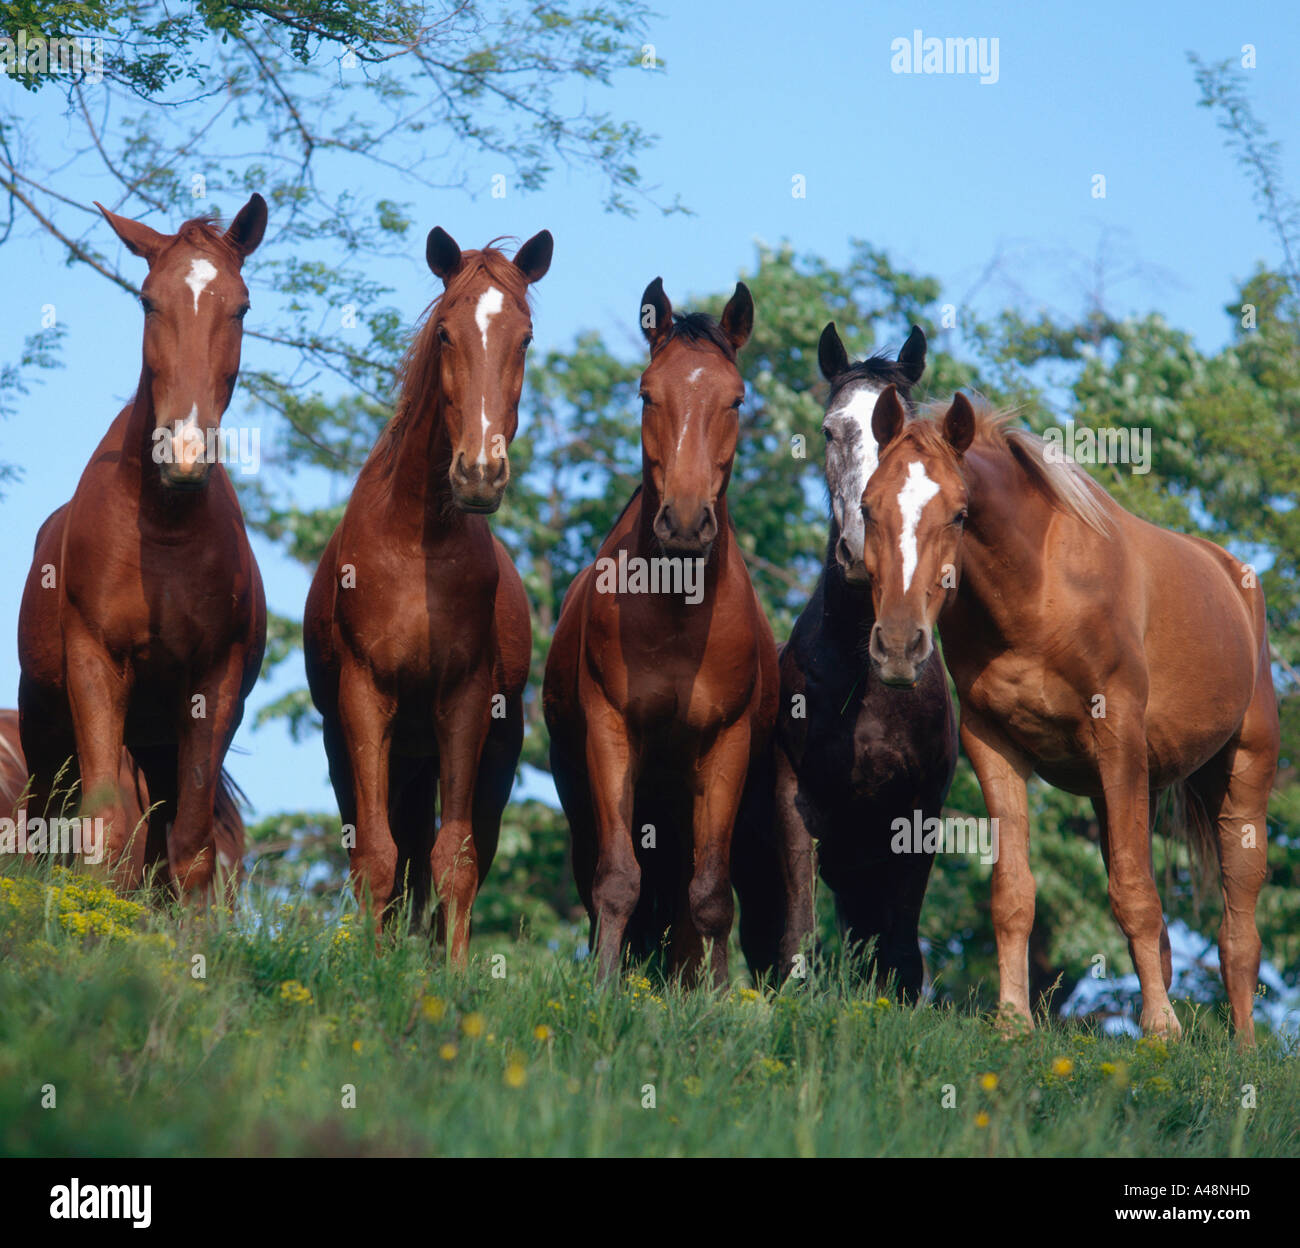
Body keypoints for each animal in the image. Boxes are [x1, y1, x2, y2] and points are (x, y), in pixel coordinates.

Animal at [17, 196, 267, 897]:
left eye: (240, 307)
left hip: (158, 743)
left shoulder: (214, 684)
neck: (164, 530)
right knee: (44, 831)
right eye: (149, 301)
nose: (183, 453)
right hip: (47, 726)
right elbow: (100, 836)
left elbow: (191, 850)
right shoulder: (96, 666)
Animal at [303, 227, 551, 958]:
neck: (417, 546)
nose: (479, 473)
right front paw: (370, 966)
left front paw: (456, 972)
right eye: (445, 333)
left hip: (491, 754)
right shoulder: (365, 699)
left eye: (524, 338)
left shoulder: (463, 704)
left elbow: (455, 861)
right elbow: (376, 856)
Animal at [543, 278, 779, 987]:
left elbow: (711, 895)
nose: (684, 521)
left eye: (736, 398)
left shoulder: (725, 746)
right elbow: (618, 879)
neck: (676, 607)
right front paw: (602, 988)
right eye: (648, 393)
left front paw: (720, 997)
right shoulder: (610, 731)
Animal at [733, 324, 957, 998]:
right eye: (831, 430)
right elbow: (797, 942)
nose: (862, 552)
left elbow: (903, 956)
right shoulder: (795, 805)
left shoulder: (917, 816)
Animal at [857, 387, 1278, 1040]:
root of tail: (1238, 581)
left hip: (1242, 780)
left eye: (959, 514)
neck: (1039, 590)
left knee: (1238, 933)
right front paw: (1013, 1020)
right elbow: (1014, 892)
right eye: (867, 508)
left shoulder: (1118, 735)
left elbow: (1134, 894)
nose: (899, 646)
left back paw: (1243, 1050)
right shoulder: (994, 744)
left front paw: (1161, 1032)